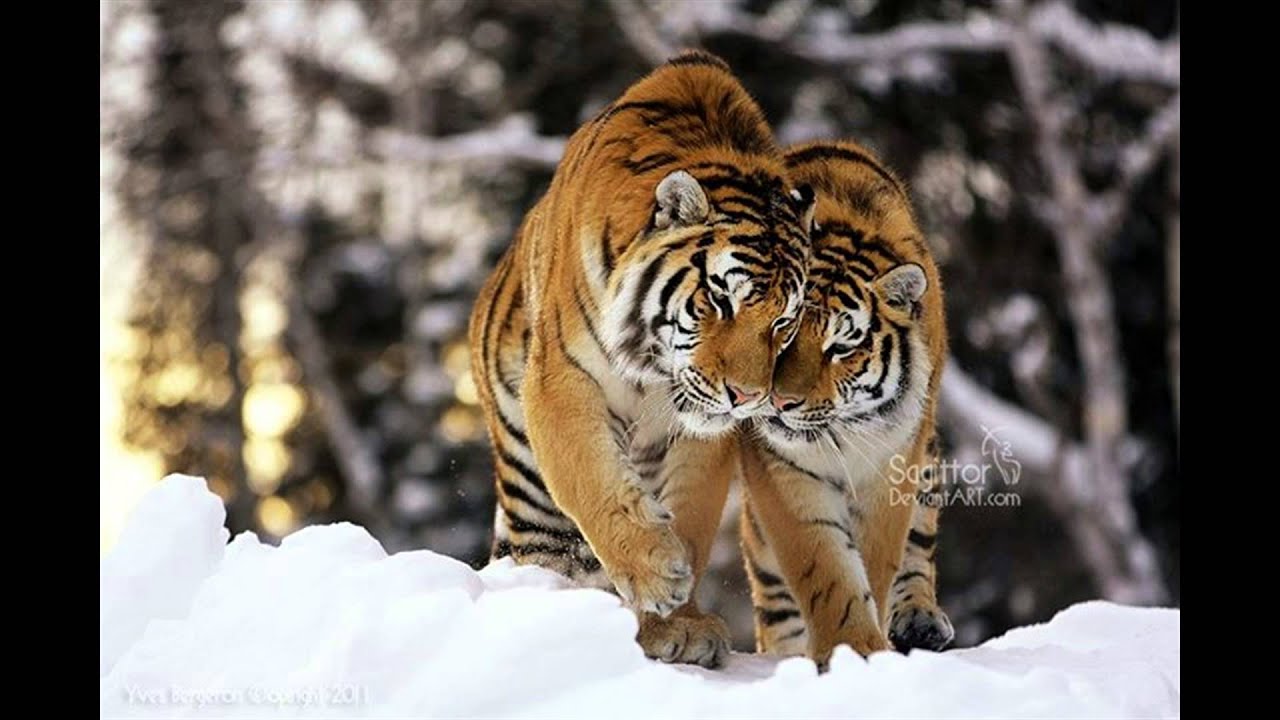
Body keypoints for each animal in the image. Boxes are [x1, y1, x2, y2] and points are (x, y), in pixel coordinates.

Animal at [468, 50, 816, 669]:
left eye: (782, 322)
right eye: (721, 300)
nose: (748, 397)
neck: (653, 367)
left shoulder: (701, 434)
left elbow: (692, 518)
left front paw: (678, 619)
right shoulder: (562, 380)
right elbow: (593, 478)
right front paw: (655, 574)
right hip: (528, 485)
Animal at [737, 140, 954, 665]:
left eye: (840, 346)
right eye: (782, 327)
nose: (781, 402)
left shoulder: (894, 466)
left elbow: (879, 559)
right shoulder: (781, 474)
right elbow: (826, 568)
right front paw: (852, 648)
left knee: (921, 540)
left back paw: (921, 621)